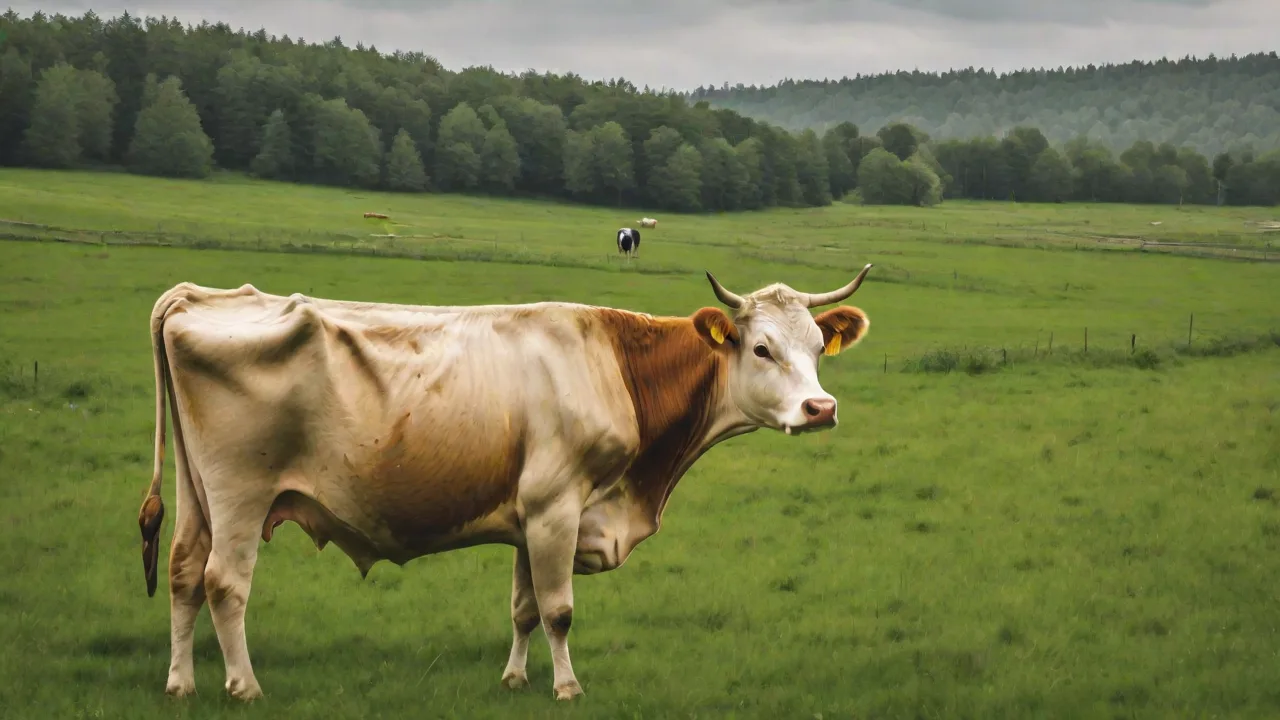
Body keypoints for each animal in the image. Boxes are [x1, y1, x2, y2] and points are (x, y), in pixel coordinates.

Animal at [136, 264, 874, 703]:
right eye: (762, 348)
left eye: (817, 347)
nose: (821, 408)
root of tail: (198, 296)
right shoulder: (556, 504)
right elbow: (559, 608)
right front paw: (568, 688)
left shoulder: (531, 515)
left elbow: (523, 607)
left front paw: (517, 677)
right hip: (241, 495)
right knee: (224, 583)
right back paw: (243, 686)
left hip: (201, 498)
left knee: (182, 573)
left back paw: (180, 682)